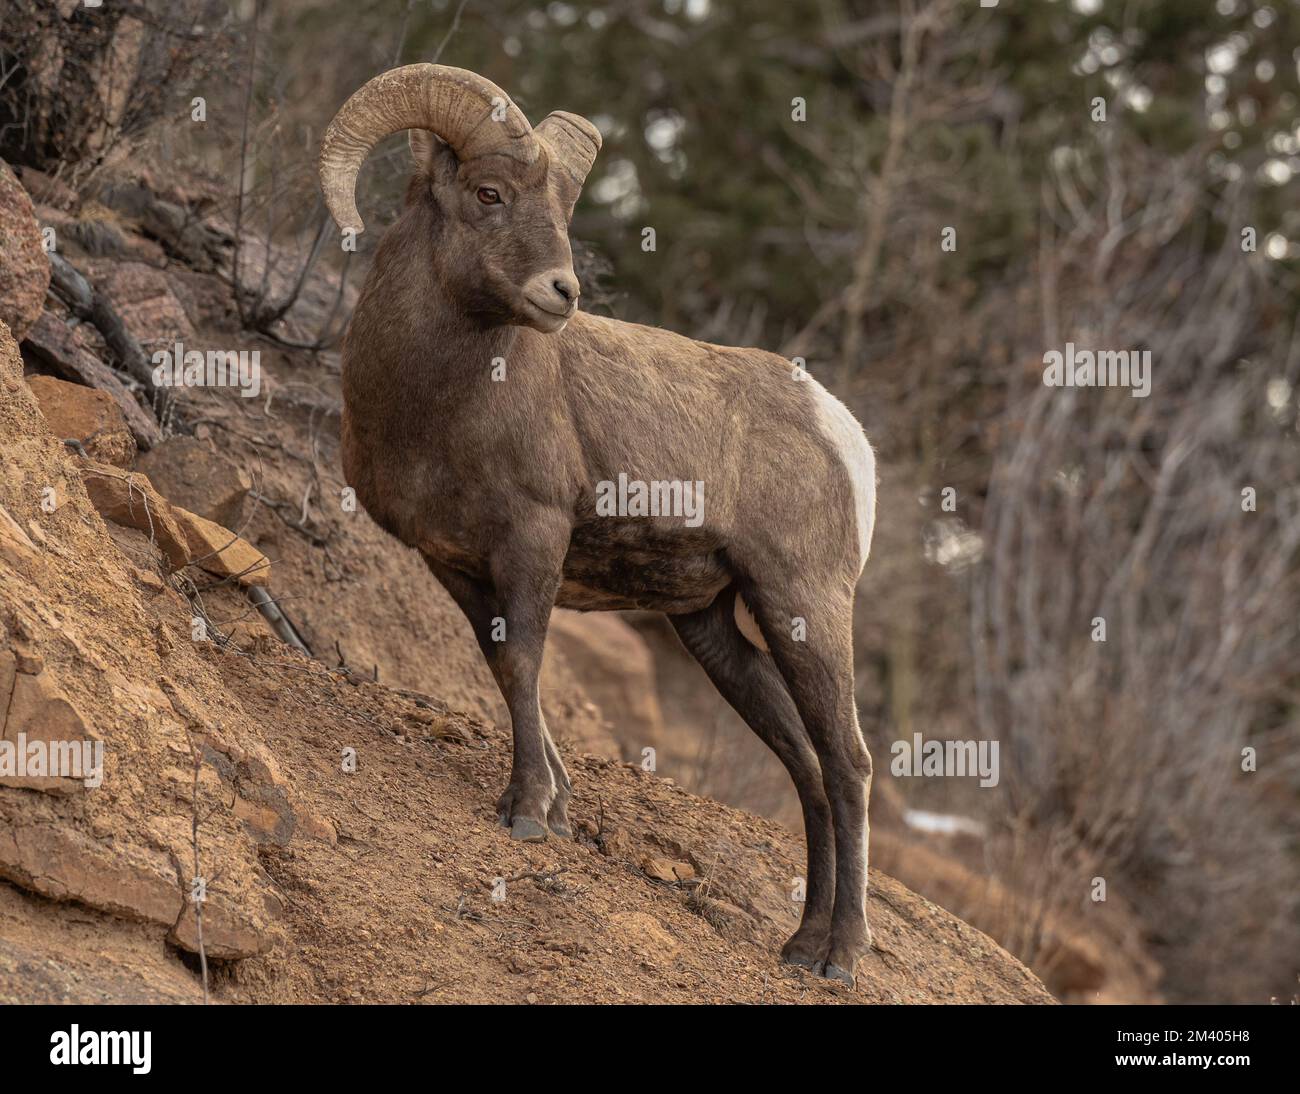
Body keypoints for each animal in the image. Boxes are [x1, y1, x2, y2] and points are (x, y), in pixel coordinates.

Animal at [319, 64, 878, 985]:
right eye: (490, 192)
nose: (563, 294)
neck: (439, 404)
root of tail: (843, 434)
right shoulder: (457, 566)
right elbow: (506, 667)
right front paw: (554, 807)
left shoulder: (534, 543)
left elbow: (523, 666)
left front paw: (527, 813)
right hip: (710, 627)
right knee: (804, 763)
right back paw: (799, 947)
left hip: (804, 606)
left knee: (848, 762)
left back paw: (841, 957)